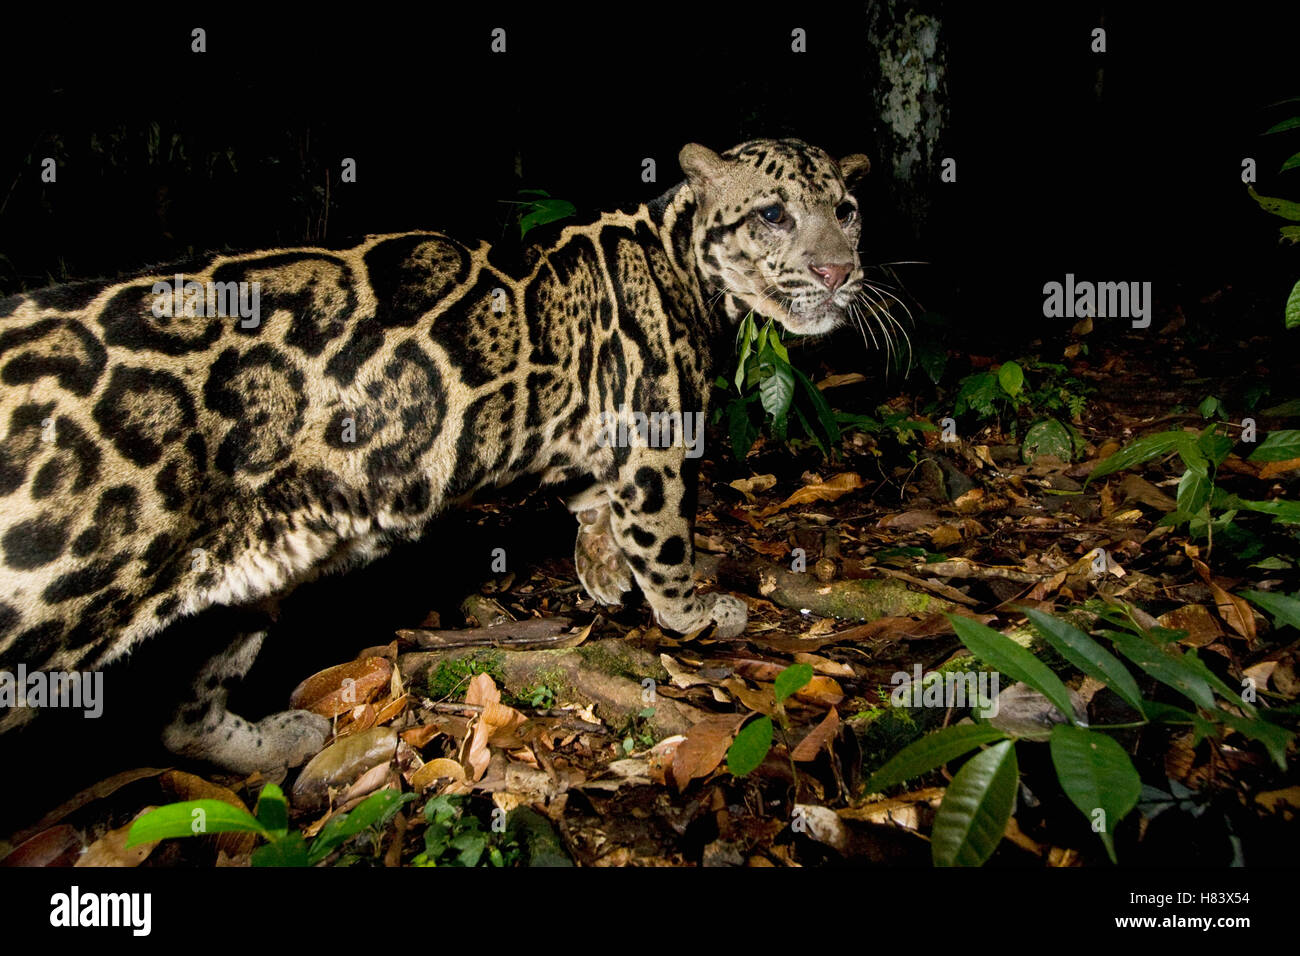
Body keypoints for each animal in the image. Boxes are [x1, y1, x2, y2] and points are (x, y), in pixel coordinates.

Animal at [0, 137, 870, 774]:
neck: (684, 260)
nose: (839, 270)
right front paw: (693, 612)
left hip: (246, 564)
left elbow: (594, 504)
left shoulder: (585, 430)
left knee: (183, 714)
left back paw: (271, 742)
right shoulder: (651, 441)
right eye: (773, 214)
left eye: (848, 210)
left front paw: (600, 569)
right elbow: (664, 543)